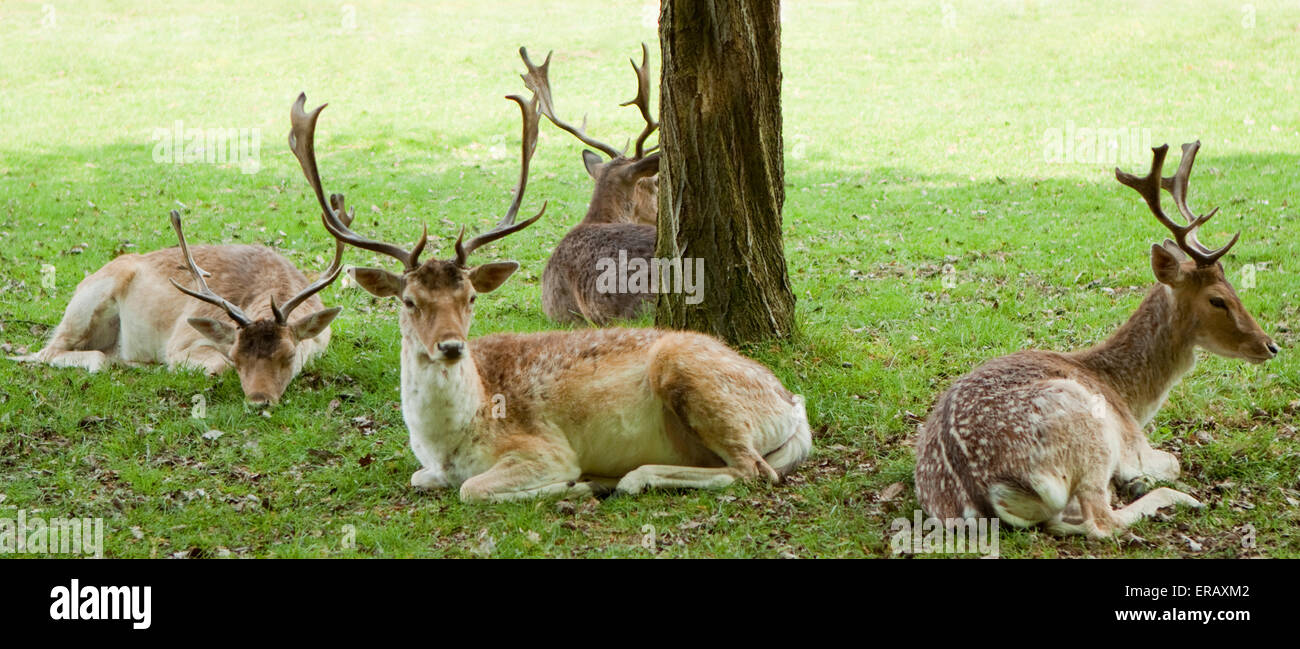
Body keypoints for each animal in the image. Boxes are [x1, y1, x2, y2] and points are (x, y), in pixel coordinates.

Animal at [11, 207, 352, 406]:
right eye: (236, 356)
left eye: (290, 355)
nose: (259, 400)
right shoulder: (182, 341)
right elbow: (215, 365)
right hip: (85, 307)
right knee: (49, 352)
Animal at [289, 91, 811, 503]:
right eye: (409, 300)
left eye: (470, 297)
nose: (451, 346)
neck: (446, 442)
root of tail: (793, 406)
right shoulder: (430, 467)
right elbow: (424, 479)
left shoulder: (544, 448)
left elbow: (470, 488)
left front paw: (574, 484)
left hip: (691, 375)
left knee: (754, 470)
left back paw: (619, 479)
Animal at [914, 142, 1278, 538]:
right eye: (1217, 299)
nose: (1270, 345)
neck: (1127, 395)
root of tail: (980, 493)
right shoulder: (1133, 444)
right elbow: (1173, 461)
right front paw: (1142, 480)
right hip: (1089, 430)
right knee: (1100, 520)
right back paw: (1173, 497)